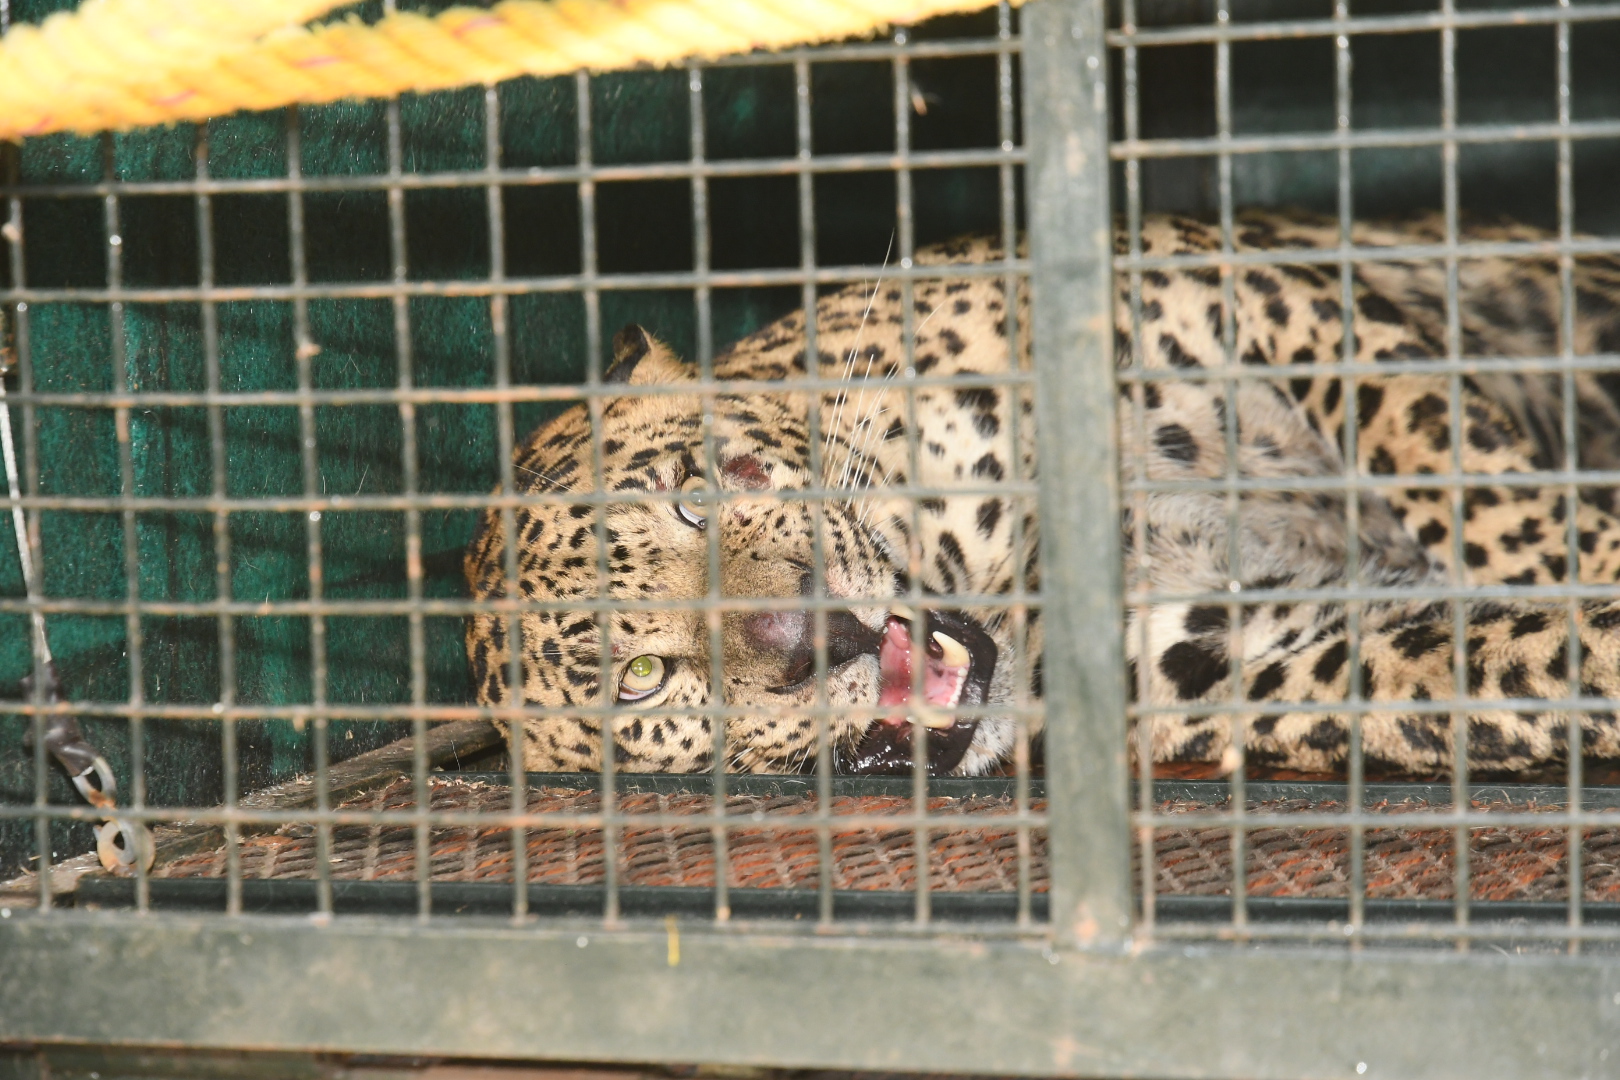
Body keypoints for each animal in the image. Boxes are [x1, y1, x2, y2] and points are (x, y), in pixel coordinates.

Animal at [464, 208, 1620, 778]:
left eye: (696, 496)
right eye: (645, 680)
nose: (816, 633)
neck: (989, 553)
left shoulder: (1278, 313)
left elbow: (1475, 482)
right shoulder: (1263, 648)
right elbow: (1533, 660)